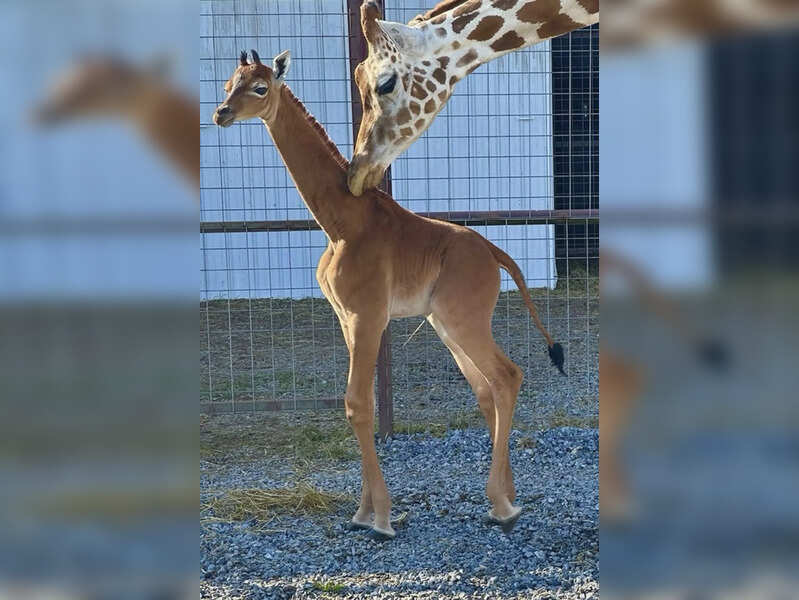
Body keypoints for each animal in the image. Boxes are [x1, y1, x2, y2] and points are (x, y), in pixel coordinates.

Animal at [213, 49, 565, 539]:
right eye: (228, 83)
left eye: (260, 87)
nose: (221, 113)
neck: (341, 223)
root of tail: (495, 253)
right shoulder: (346, 318)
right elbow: (362, 404)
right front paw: (363, 512)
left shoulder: (368, 316)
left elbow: (357, 404)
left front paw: (379, 516)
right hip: (445, 324)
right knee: (486, 387)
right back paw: (508, 497)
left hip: (464, 319)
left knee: (506, 376)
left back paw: (502, 505)